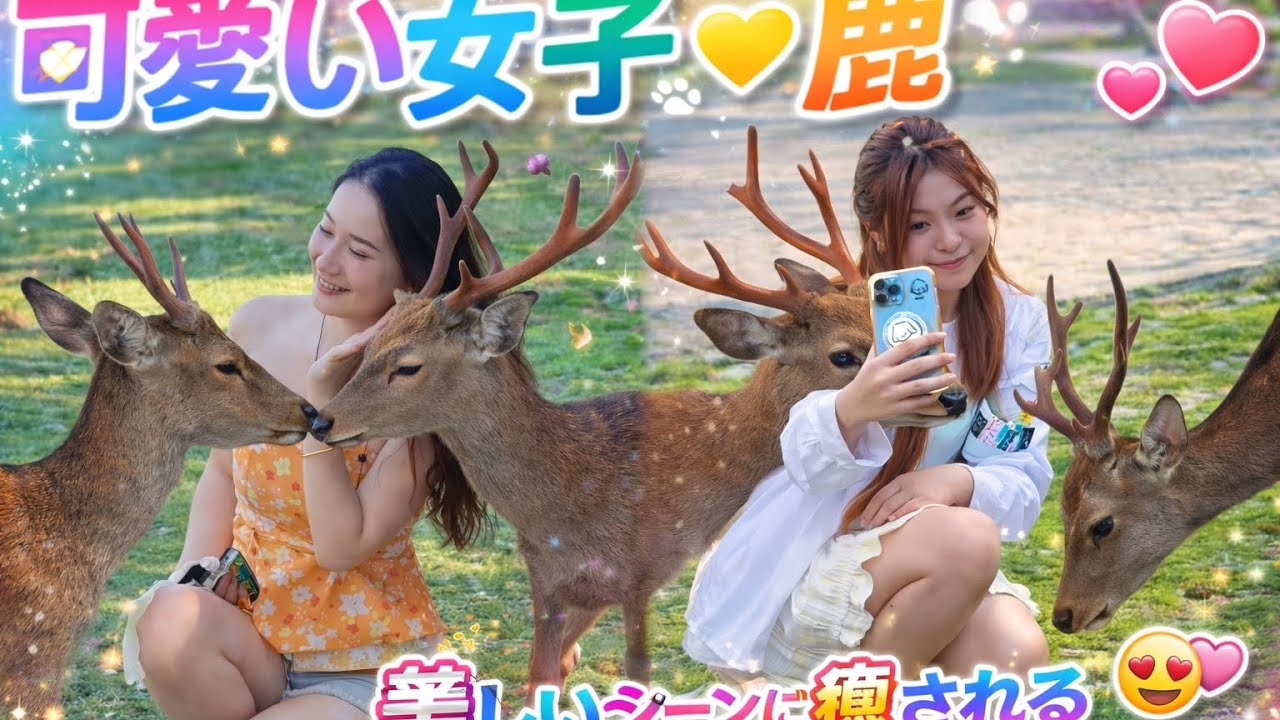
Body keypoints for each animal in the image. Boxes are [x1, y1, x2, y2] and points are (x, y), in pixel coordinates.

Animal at [308, 129, 967, 695]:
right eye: (844, 355)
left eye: (407, 365)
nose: (324, 420)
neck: (563, 503)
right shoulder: (545, 582)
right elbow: (544, 675)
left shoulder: (641, 572)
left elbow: (632, 672)